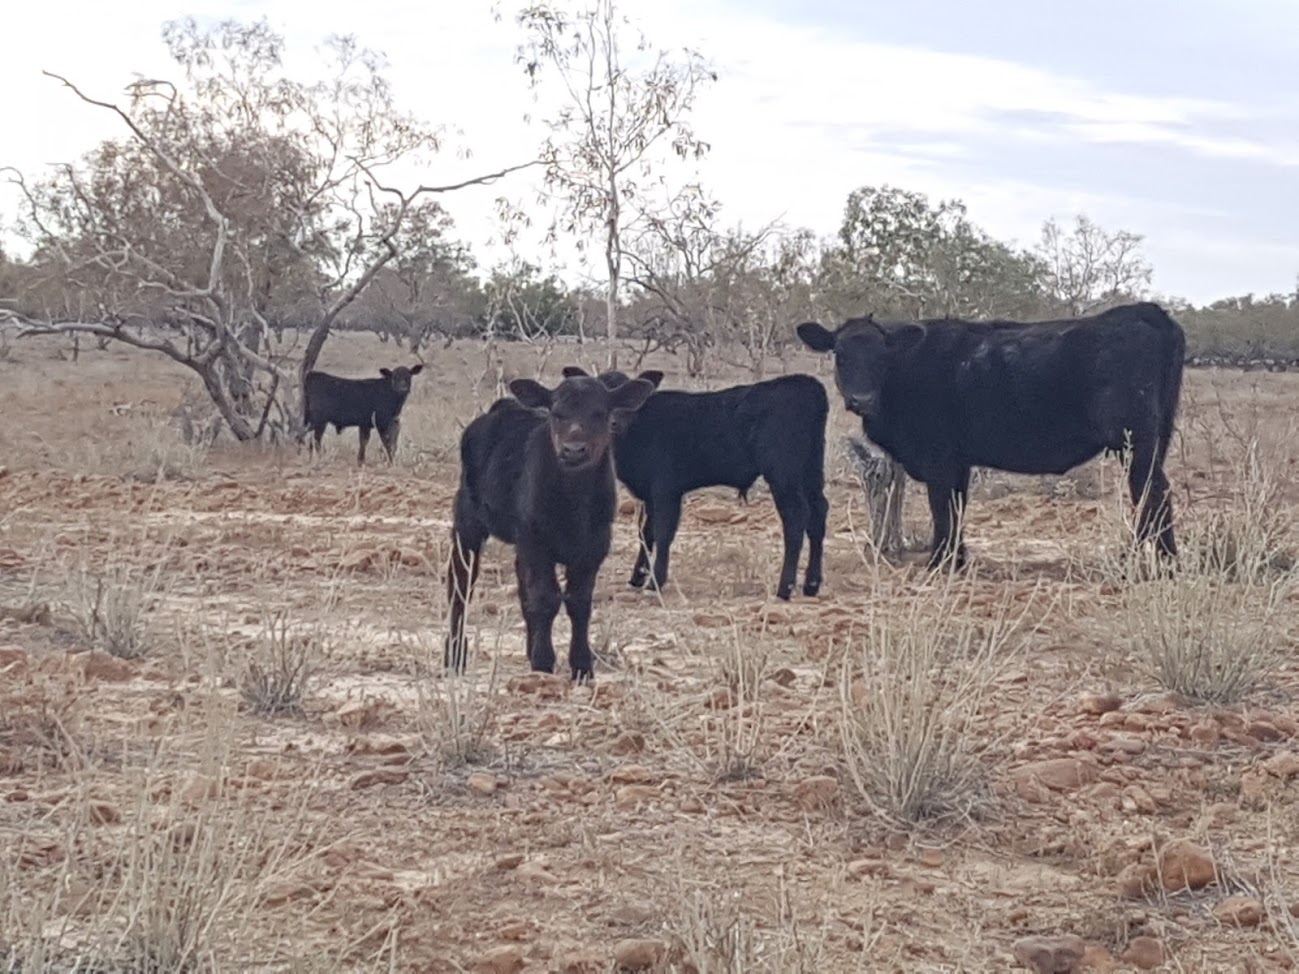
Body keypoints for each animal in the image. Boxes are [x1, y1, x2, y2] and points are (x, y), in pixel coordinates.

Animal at [444, 368, 657, 681]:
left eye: (600, 413)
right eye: (557, 413)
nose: (573, 449)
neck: (572, 504)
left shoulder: (594, 546)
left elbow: (578, 601)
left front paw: (581, 666)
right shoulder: (536, 542)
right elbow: (545, 598)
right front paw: (544, 662)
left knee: (522, 592)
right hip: (467, 521)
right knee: (460, 586)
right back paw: (454, 656)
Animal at [564, 366, 830, 601]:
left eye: (628, 398)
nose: (613, 423)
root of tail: (806, 383)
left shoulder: (666, 489)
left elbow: (663, 532)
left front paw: (655, 582)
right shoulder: (649, 494)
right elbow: (645, 533)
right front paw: (637, 576)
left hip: (784, 474)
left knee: (796, 517)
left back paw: (784, 588)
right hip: (812, 471)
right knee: (818, 513)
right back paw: (811, 584)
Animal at [795, 301, 1185, 569]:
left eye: (882, 356)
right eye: (840, 355)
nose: (861, 399)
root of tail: (1145, 311)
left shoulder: (940, 459)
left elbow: (942, 508)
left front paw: (940, 562)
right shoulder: (958, 462)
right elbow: (956, 507)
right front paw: (956, 559)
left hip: (1135, 441)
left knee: (1152, 491)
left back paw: (1159, 564)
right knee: (1150, 494)